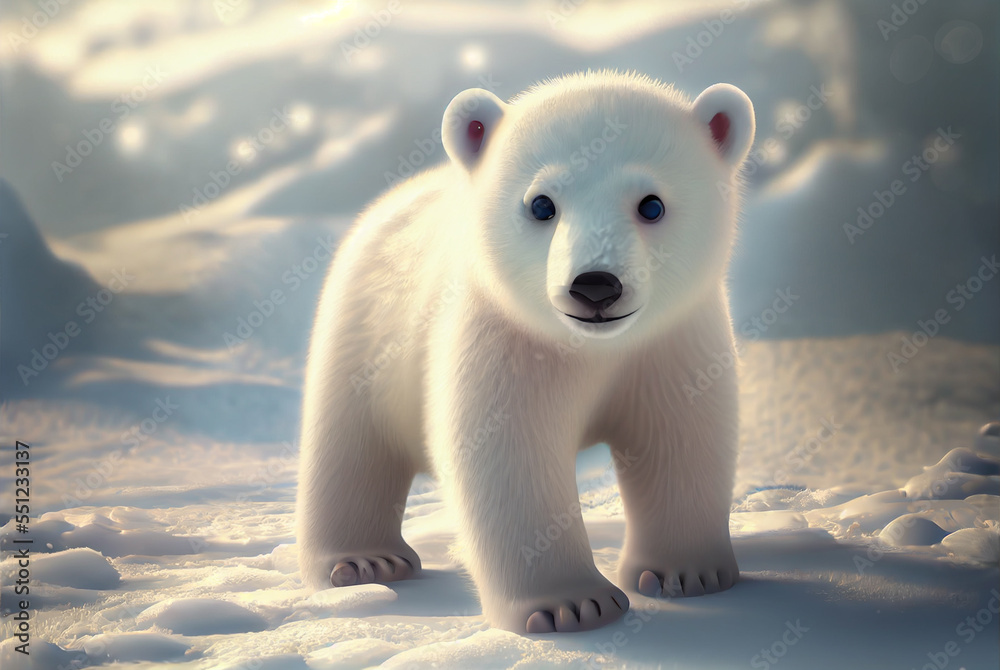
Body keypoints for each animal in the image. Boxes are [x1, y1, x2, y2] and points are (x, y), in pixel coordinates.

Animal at [296, 70, 755, 634]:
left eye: (652, 204)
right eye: (541, 204)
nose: (596, 285)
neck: (591, 350)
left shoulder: (672, 342)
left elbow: (681, 436)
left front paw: (688, 574)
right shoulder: (502, 339)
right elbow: (509, 453)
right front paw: (572, 605)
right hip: (366, 328)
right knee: (349, 441)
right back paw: (364, 560)